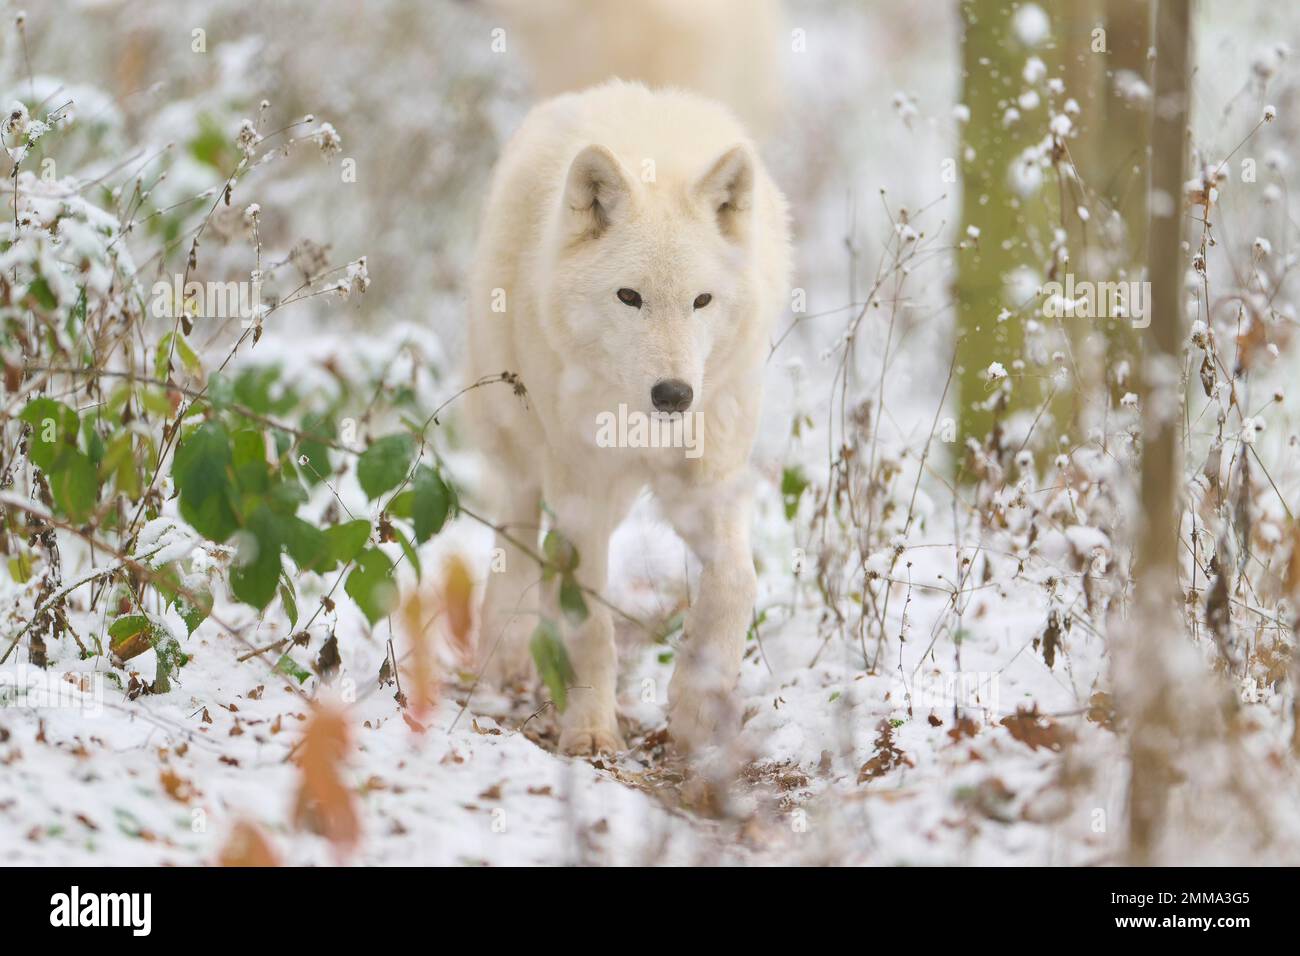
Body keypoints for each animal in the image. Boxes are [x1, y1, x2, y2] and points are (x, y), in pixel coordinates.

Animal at [465, 80, 791, 754]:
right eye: (629, 297)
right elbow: (589, 623)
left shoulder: (708, 484)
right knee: (516, 536)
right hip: (523, 450)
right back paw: (504, 656)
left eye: (701, 300)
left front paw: (697, 708)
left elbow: (735, 584)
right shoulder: (582, 490)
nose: (674, 395)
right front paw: (590, 728)